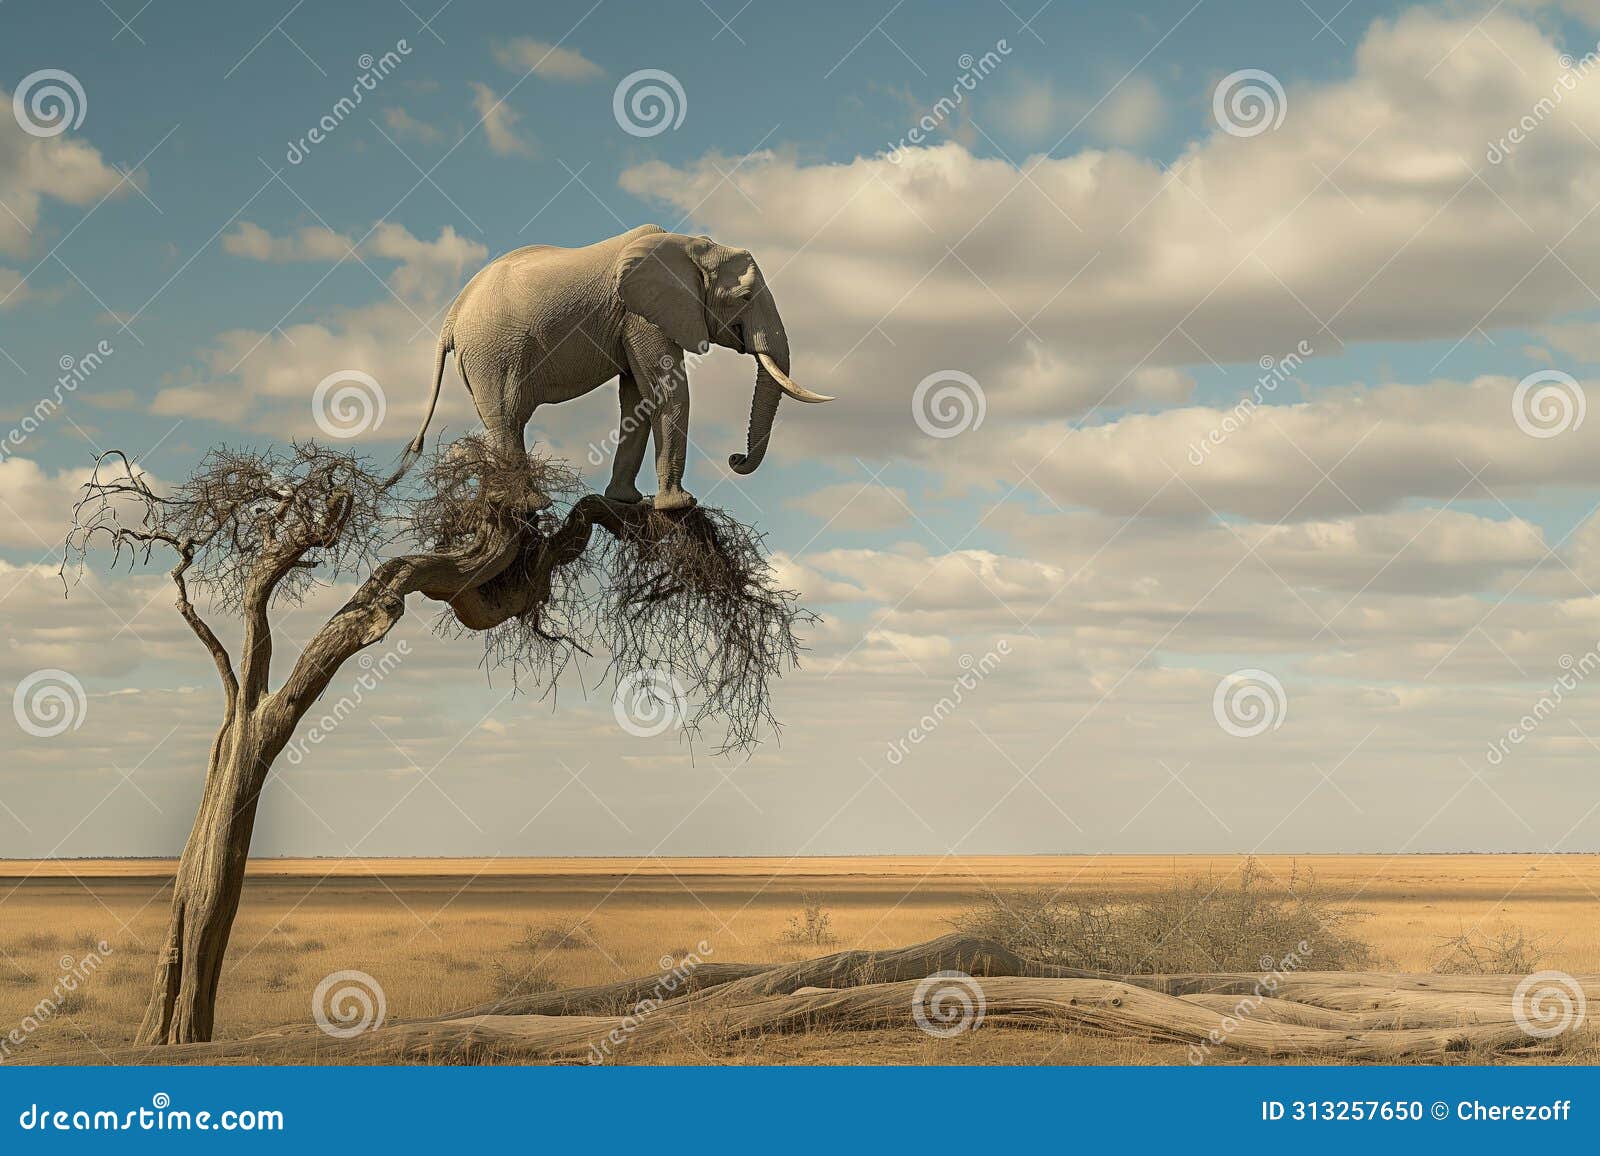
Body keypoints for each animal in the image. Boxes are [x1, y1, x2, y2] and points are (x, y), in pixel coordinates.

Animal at [396, 223, 832, 510]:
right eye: (743, 298)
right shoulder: (642, 315)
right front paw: (678, 505)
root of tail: (451, 317)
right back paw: (529, 504)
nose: (735, 459)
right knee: (508, 414)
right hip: (494, 350)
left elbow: (637, 397)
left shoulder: (631, 320)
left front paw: (627, 502)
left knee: (505, 420)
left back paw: (507, 502)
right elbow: (667, 390)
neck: (690, 247)